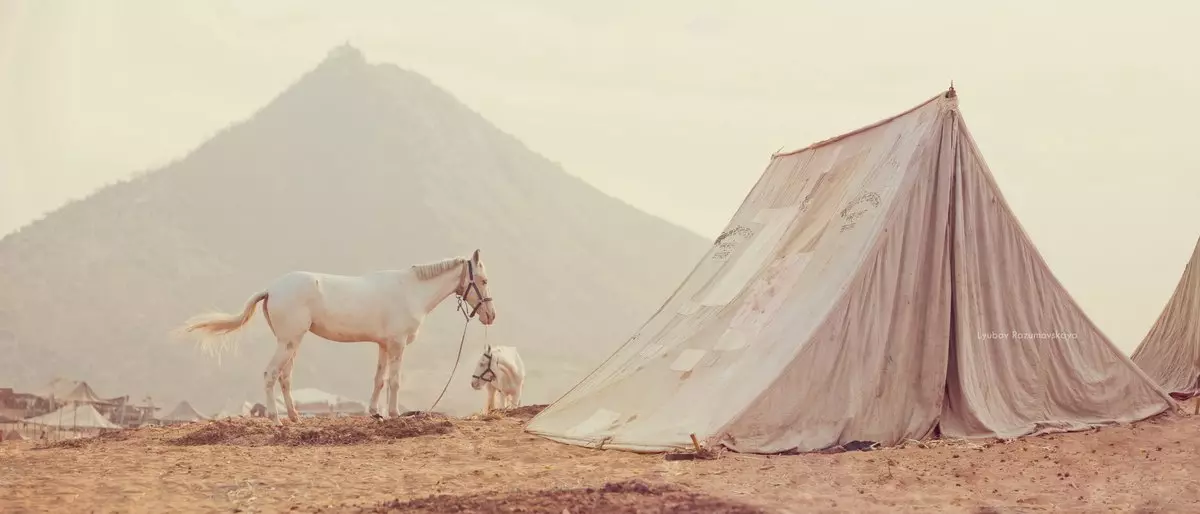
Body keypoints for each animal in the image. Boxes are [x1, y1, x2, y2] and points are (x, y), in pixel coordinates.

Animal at [177, 250, 496, 422]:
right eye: (483, 280)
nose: (491, 315)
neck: (410, 291)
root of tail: (271, 289)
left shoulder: (383, 345)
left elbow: (379, 379)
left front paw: (375, 412)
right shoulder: (397, 345)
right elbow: (394, 380)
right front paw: (393, 414)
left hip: (293, 343)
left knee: (285, 377)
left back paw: (293, 417)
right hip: (287, 343)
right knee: (271, 374)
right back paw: (276, 419)